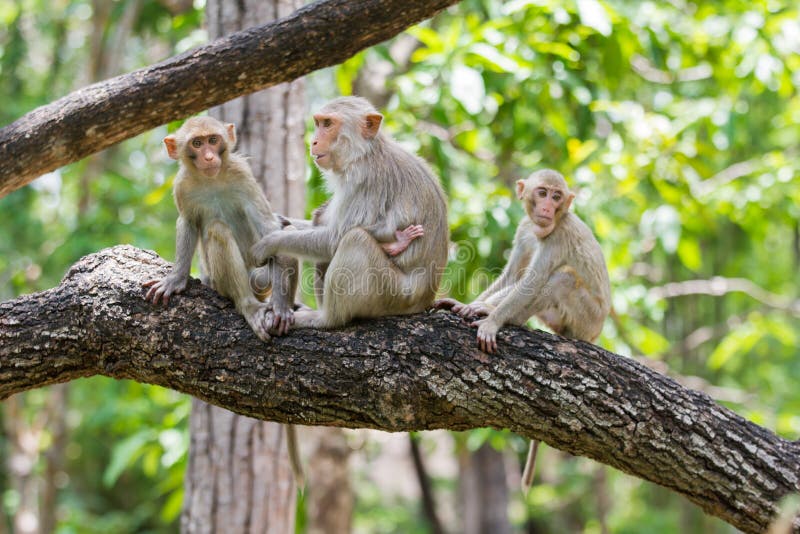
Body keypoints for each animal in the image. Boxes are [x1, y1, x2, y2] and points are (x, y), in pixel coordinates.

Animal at [142, 116, 299, 340]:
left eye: (213, 140)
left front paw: (281, 308)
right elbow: (188, 223)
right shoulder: (182, 186)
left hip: (260, 278)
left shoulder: (242, 174)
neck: (211, 179)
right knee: (218, 229)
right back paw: (248, 305)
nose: (208, 157)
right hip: (219, 282)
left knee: (287, 234)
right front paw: (176, 278)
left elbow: (270, 230)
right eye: (197, 143)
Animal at [250, 96, 448, 329]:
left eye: (328, 124)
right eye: (318, 123)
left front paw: (270, 242)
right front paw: (280, 221)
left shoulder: (363, 179)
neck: (365, 152)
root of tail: (425, 299)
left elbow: (334, 239)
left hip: (393, 294)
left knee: (355, 240)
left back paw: (325, 319)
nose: (313, 142)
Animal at [435, 168, 611, 493]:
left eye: (557, 196)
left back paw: (506, 318)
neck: (544, 229)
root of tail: (595, 333)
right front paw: (470, 305)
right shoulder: (525, 228)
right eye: (542, 193)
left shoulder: (558, 237)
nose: (547, 209)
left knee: (563, 277)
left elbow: (531, 282)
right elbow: (513, 275)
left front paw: (491, 320)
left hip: (587, 318)